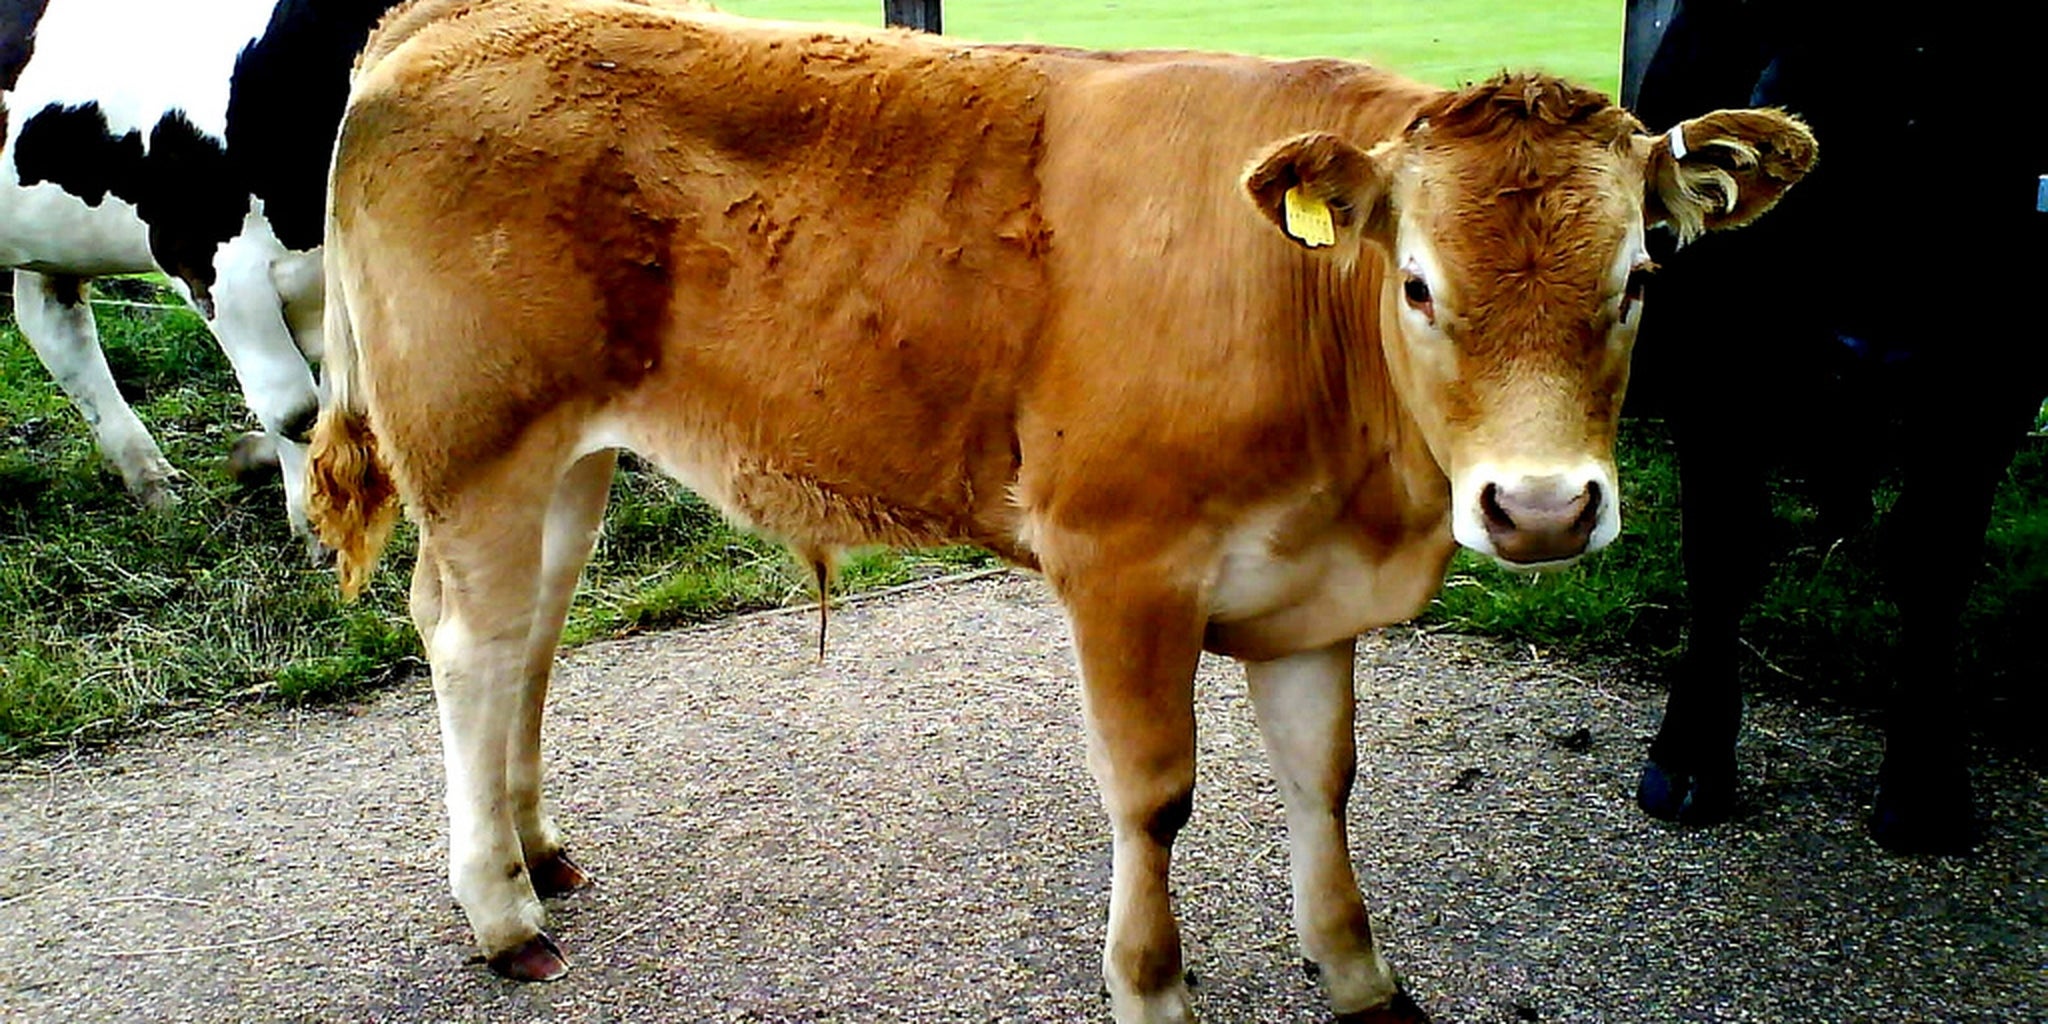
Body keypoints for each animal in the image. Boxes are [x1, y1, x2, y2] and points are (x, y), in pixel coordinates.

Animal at [306, 1, 1814, 1020]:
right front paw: (1149, 984)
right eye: (1418, 284)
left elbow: (1321, 783)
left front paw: (1357, 974)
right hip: (479, 445)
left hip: (564, 459)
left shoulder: (1309, 591)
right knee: (469, 643)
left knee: (529, 635)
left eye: (1641, 273)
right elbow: (1154, 796)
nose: (1543, 508)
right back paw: (498, 907)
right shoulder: (1123, 563)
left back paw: (538, 851)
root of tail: (454, 18)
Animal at [1623, 0, 2048, 854]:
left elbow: (1934, 556)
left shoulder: (1995, 374)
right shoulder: (1706, 349)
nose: (1873, 349)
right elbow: (1723, 547)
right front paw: (1690, 753)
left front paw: (1925, 780)